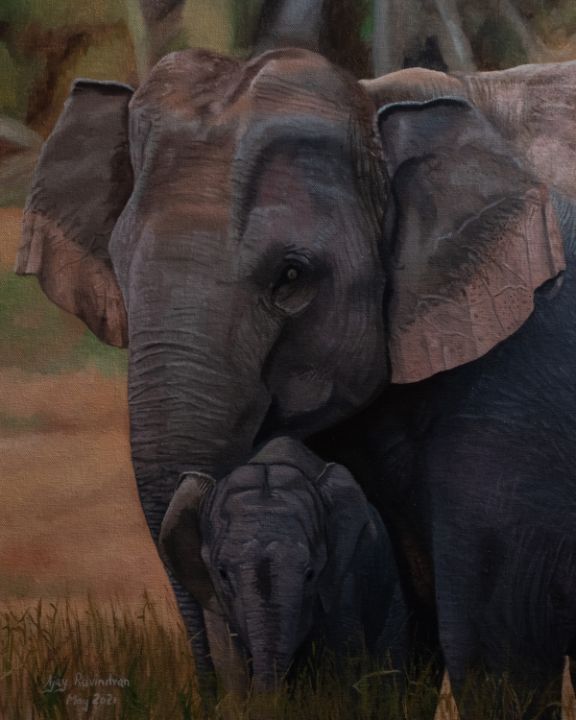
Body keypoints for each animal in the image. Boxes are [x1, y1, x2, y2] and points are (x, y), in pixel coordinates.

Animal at [159, 435, 408, 696]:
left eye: (311, 575)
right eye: (222, 574)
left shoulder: (345, 576)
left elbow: (343, 659)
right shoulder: (214, 598)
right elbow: (229, 662)